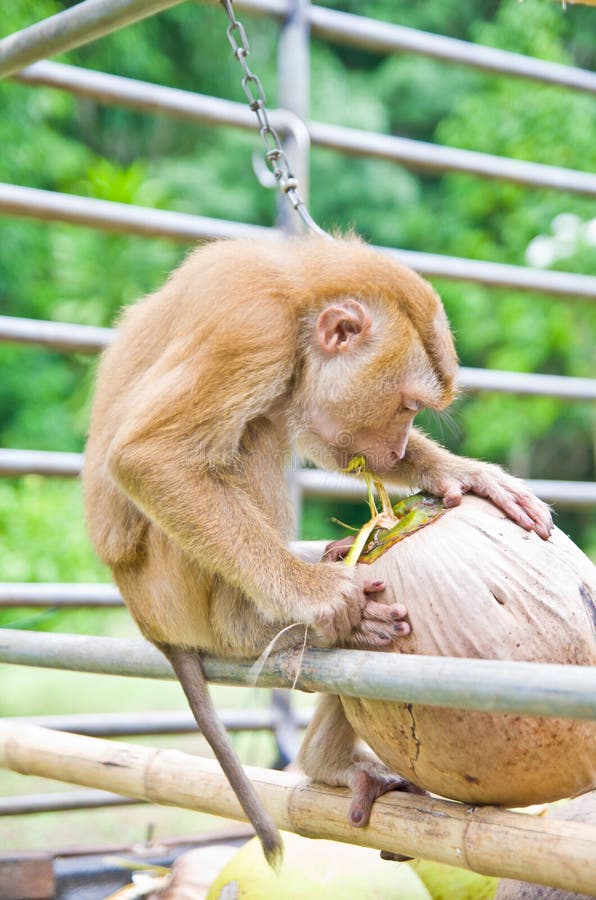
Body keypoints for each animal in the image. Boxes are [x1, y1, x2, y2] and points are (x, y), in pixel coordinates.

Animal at [82, 234, 552, 865]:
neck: (297, 297)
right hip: (175, 593)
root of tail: (149, 625)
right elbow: (150, 456)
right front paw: (318, 601)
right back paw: (266, 624)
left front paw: (463, 473)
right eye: (407, 405)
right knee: (253, 432)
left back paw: (326, 758)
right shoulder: (252, 334)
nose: (398, 447)